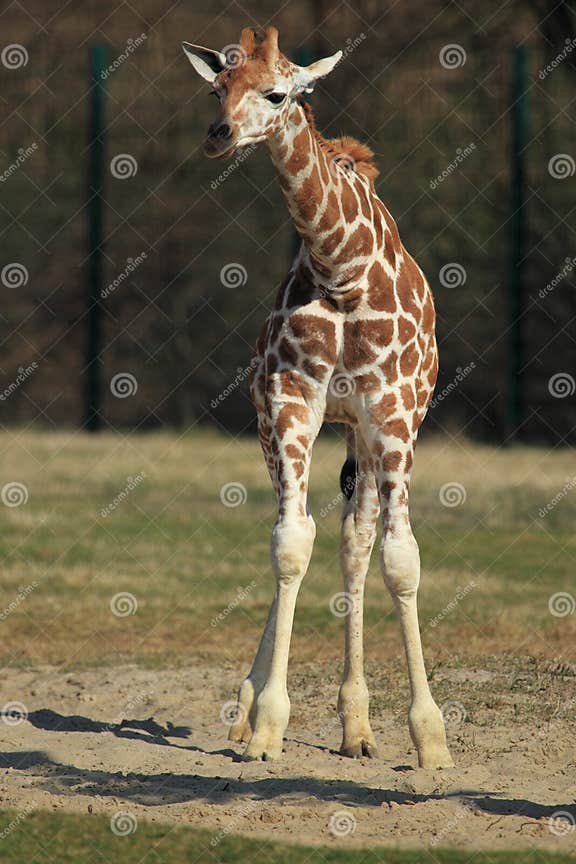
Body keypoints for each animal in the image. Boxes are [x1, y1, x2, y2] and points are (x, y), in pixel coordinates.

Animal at [183, 26, 454, 769]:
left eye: (279, 93)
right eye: (218, 89)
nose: (219, 134)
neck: (343, 267)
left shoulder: (392, 416)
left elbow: (399, 558)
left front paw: (430, 739)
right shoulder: (288, 403)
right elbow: (288, 544)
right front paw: (266, 726)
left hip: (368, 433)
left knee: (356, 541)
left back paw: (358, 727)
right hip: (295, 428)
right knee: (306, 531)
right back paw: (261, 708)